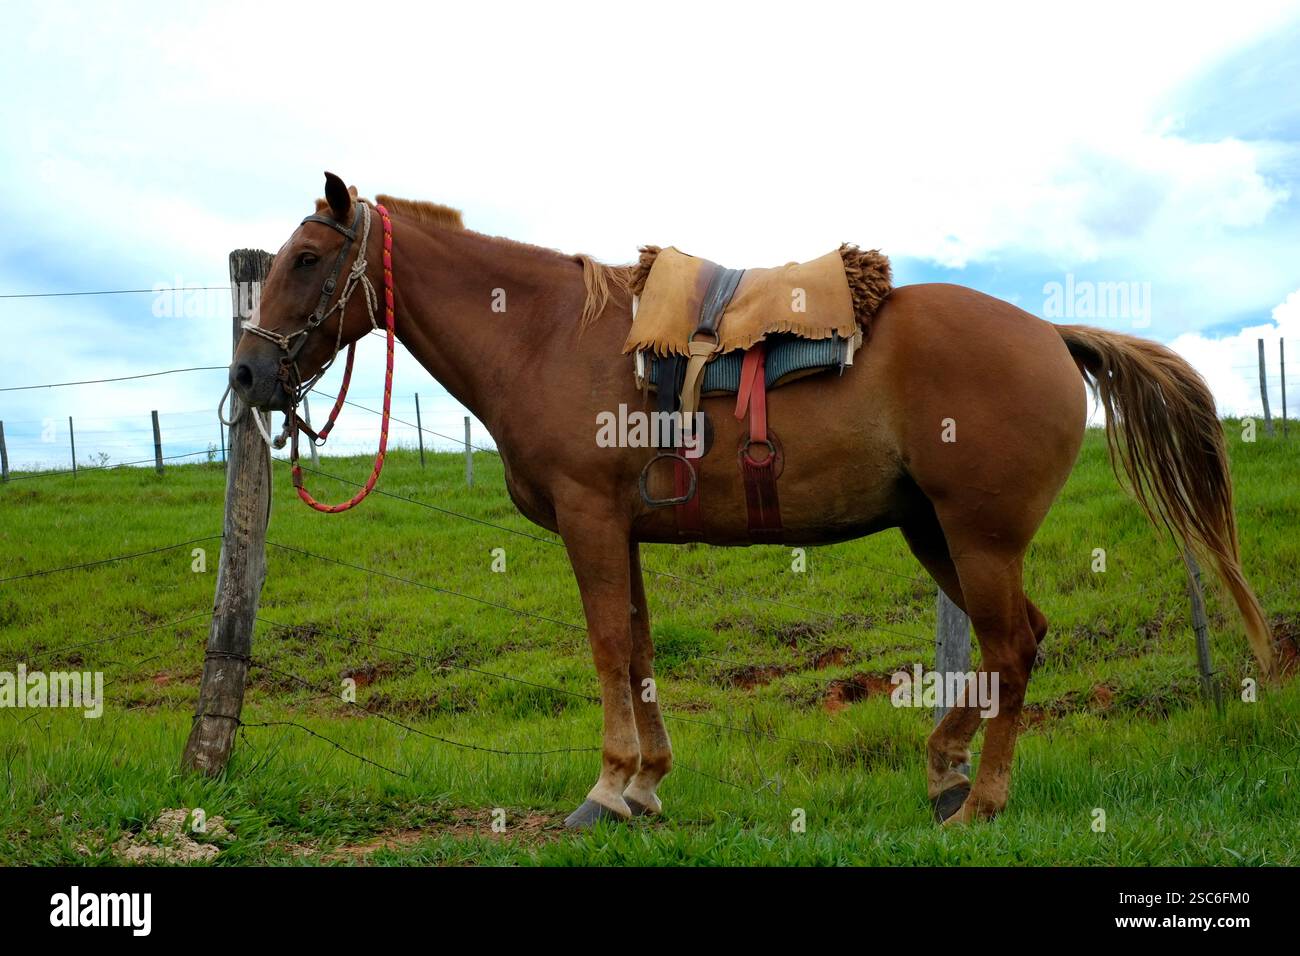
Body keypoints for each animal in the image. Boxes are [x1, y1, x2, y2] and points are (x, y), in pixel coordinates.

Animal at [229, 173, 1275, 828]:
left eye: (309, 260)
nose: (248, 375)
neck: (543, 335)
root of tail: (1051, 333)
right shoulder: (624, 529)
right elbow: (639, 649)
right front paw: (647, 787)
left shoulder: (589, 520)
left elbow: (606, 648)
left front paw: (606, 789)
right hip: (938, 532)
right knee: (1020, 640)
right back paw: (946, 771)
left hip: (977, 536)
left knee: (1012, 647)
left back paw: (980, 800)